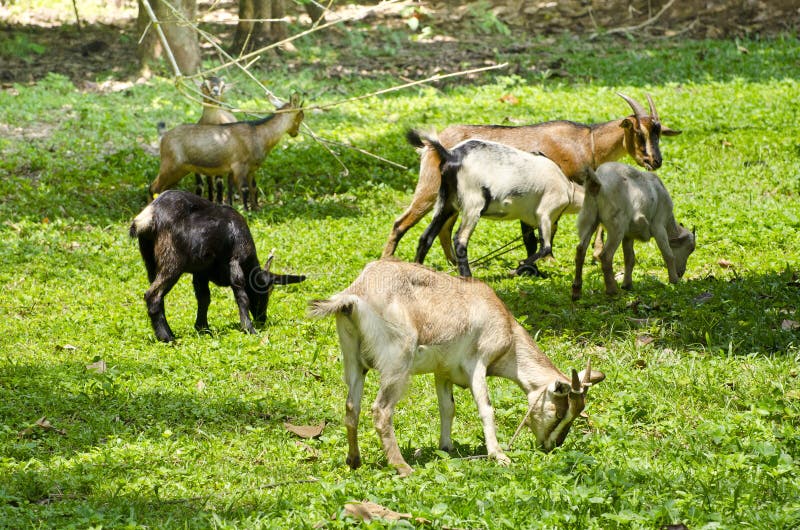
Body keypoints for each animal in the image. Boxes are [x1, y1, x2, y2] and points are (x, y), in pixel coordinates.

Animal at [130, 190, 306, 342]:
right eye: (265, 292)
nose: (262, 319)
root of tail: (148, 218)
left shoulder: (201, 272)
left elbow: (204, 298)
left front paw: (203, 328)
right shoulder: (235, 259)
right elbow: (241, 294)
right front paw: (249, 328)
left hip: (150, 262)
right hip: (172, 261)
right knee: (153, 295)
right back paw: (167, 338)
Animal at [149, 93, 304, 210]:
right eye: (301, 115)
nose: (295, 133)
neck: (258, 134)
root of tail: (164, 138)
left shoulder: (250, 169)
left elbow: (253, 188)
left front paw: (256, 209)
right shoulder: (239, 166)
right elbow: (244, 189)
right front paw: (247, 212)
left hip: (181, 170)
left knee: (161, 189)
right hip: (170, 165)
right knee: (153, 187)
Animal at [309, 258, 605, 476]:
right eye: (558, 413)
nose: (551, 446)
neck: (506, 325)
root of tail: (355, 294)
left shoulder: (443, 372)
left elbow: (447, 408)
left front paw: (447, 447)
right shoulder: (478, 364)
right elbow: (486, 408)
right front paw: (499, 456)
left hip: (354, 360)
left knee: (351, 407)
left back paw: (354, 460)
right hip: (397, 362)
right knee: (381, 410)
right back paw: (403, 467)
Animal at [409, 130, 584, 278]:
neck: (569, 189)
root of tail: (451, 155)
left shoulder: (527, 218)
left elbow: (531, 243)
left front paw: (530, 271)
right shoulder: (545, 212)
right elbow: (545, 247)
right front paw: (521, 266)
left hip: (446, 203)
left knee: (426, 237)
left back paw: (418, 268)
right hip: (473, 204)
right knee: (460, 240)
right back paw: (467, 276)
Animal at [571, 162, 695, 300]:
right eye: (690, 248)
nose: (681, 273)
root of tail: (598, 182)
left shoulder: (628, 235)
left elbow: (629, 259)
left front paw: (627, 285)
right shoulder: (659, 226)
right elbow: (668, 254)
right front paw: (674, 281)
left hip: (589, 216)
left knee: (581, 249)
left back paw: (576, 291)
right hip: (616, 226)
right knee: (605, 255)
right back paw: (612, 290)